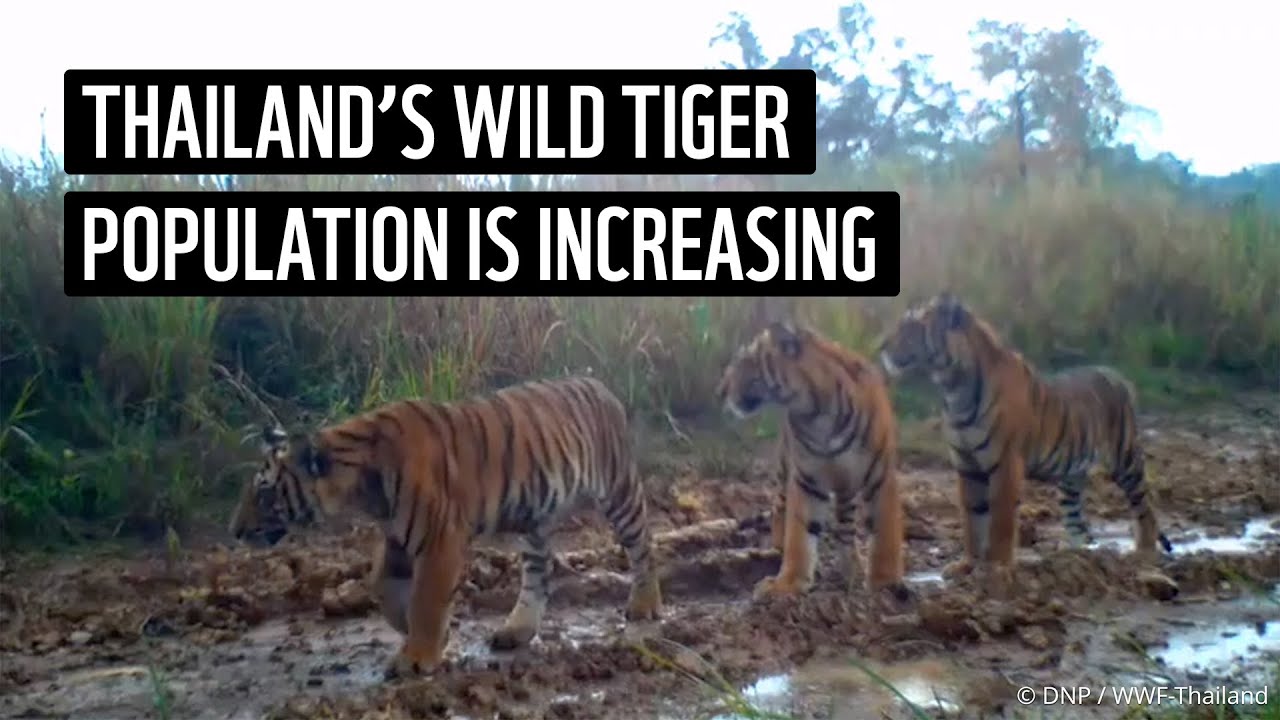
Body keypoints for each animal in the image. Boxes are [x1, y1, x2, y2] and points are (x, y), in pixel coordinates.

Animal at [228, 376, 663, 680]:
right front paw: (433, 639)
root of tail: (602, 387)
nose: (234, 531)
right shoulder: (397, 537)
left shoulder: (438, 539)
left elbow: (426, 600)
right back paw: (517, 630)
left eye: (264, 492)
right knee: (539, 575)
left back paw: (645, 606)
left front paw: (417, 658)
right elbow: (381, 587)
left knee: (643, 547)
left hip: (619, 491)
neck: (362, 485)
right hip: (534, 523)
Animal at [715, 321, 909, 606]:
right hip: (786, 471)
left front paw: (884, 582)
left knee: (846, 527)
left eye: (746, 362)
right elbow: (800, 535)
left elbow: (884, 532)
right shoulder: (807, 479)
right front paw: (786, 584)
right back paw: (779, 545)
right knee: (780, 507)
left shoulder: (879, 477)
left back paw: (851, 568)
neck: (817, 413)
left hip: (847, 486)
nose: (720, 391)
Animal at [877, 292, 1173, 590]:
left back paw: (1142, 554)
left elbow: (999, 521)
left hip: (1125, 459)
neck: (953, 388)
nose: (881, 346)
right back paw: (1077, 561)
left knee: (1145, 508)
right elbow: (972, 520)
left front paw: (995, 568)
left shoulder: (1005, 462)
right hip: (1071, 478)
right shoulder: (967, 466)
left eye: (911, 327)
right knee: (1077, 522)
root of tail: (1119, 377)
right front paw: (967, 565)